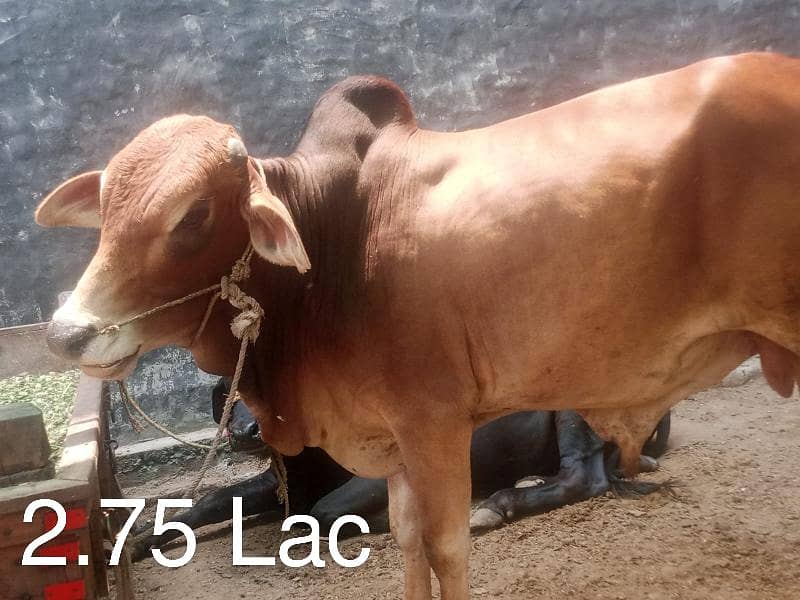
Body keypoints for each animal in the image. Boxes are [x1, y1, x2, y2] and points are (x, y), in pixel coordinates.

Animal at [130, 378, 670, 560]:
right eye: (232, 391)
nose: (246, 433)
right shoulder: (279, 481)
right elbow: (211, 499)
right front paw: (136, 540)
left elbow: (323, 513)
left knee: (585, 476)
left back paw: (495, 505)